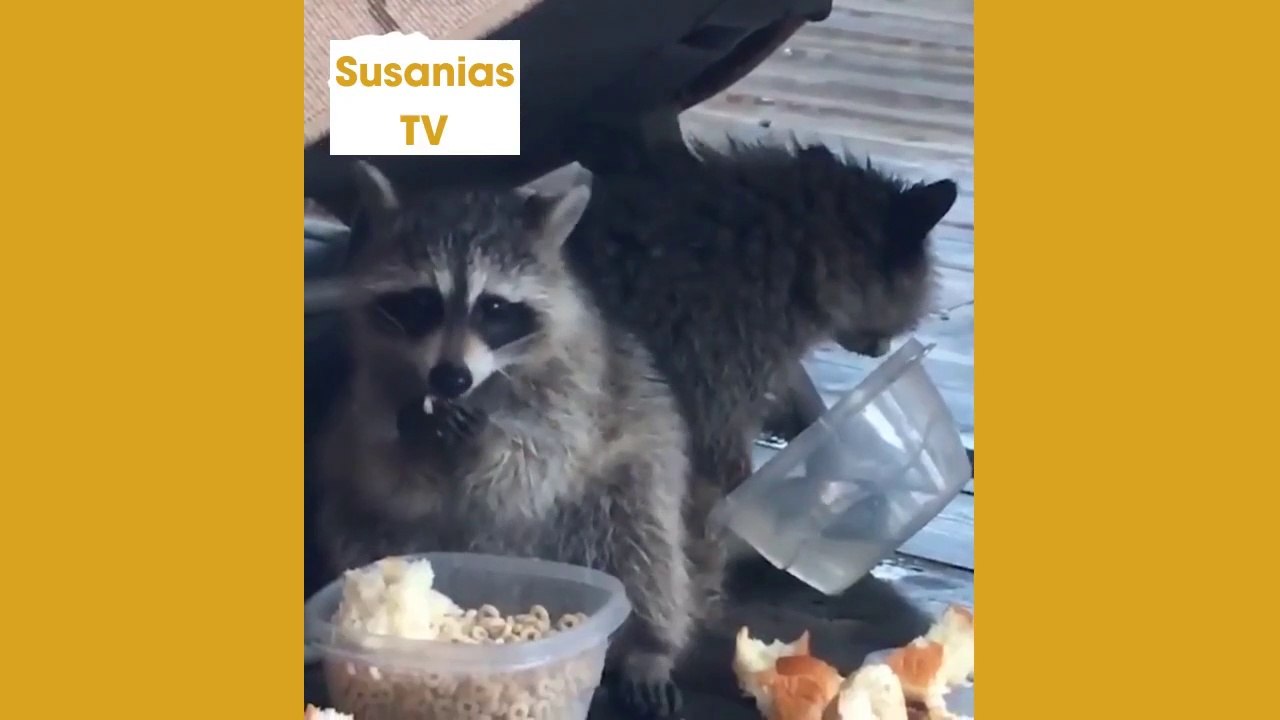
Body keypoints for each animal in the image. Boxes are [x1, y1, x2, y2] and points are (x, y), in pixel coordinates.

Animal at [315, 162, 698, 717]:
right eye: (423, 303)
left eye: (493, 307)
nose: (450, 377)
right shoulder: (368, 395)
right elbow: (388, 476)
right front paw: (415, 435)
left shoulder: (575, 392)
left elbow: (532, 470)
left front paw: (491, 440)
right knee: (355, 518)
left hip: (633, 469)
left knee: (642, 538)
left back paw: (649, 647)